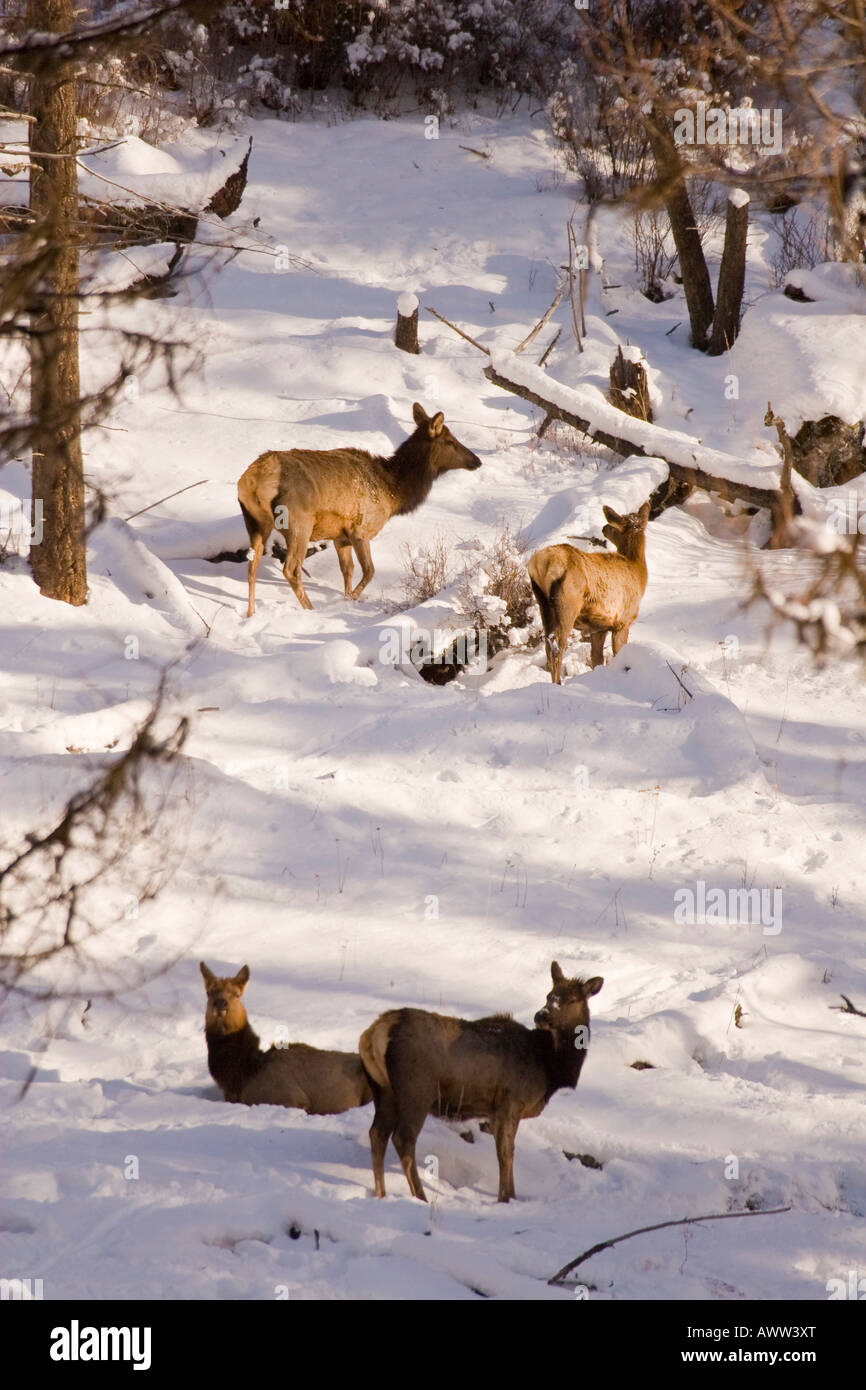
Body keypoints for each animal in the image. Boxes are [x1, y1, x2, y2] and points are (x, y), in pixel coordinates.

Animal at [237, 402, 482, 615]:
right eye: (450, 441)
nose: (477, 460)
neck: (393, 492)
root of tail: (254, 481)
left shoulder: (340, 536)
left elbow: (348, 570)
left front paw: (347, 596)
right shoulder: (360, 529)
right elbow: (369, 571)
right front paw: (350, 600)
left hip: (254, 521)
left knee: (252, 564)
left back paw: (251, 613)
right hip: (298, 521)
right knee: (291, 569)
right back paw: (311, 610)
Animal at [359, 964, 603, 1203]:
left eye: (572, 999)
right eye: (549, 995)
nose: (541, 1015)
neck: (548, 1067)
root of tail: (374, 1032)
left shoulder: (496, 1111)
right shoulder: (510, 1103)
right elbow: (506, 1154)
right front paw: (506, 1198)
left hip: (385, 1091)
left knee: (377, 1133)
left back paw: (381, 1194)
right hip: (416, 1090)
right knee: (403, 1139)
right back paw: (420, 1197)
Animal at [527, 500, 651, 683]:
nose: (604, 527)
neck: (638, 571)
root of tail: (542, 563)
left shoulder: (599, 627)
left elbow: (596, 659)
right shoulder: (623, 621)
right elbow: (617, 653)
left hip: (543, 603)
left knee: (548, 644)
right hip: (567, 603)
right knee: (557, 645)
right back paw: (558, 683)